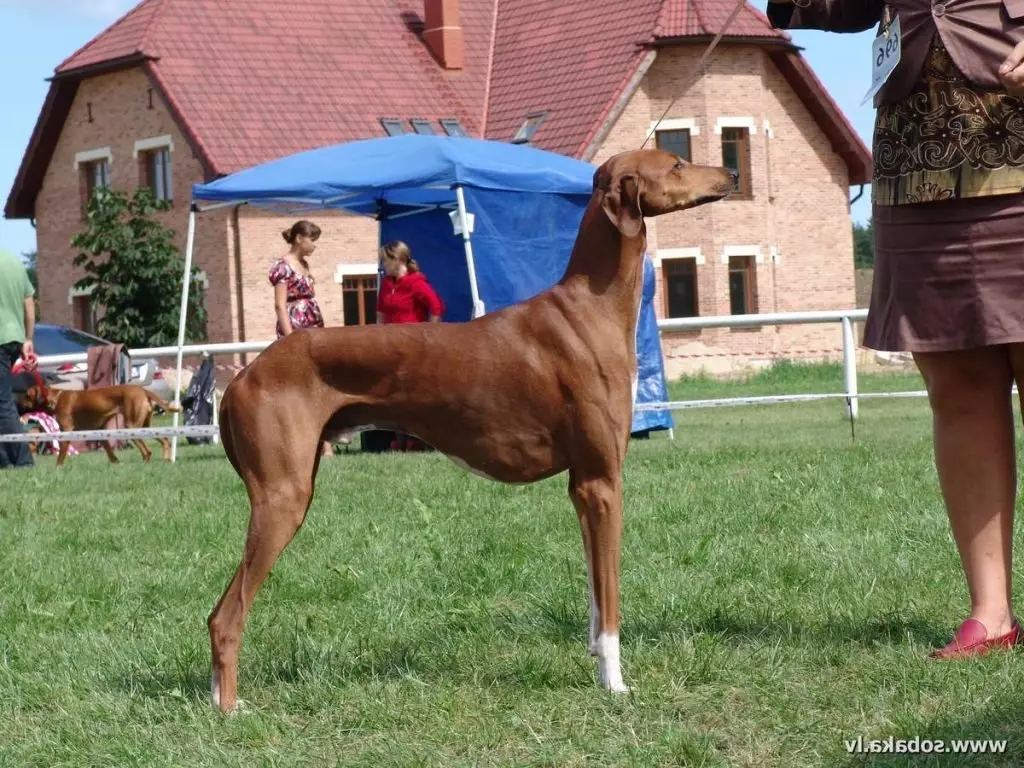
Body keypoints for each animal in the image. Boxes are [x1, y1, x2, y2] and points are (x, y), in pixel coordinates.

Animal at [26, 382, 180, 466]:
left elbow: (60, 456)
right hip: (144, 426)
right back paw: (167, 459)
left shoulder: (66, 431)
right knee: (165, 440)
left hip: (131, 427)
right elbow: (110, 453)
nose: (20, 404)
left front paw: (58, 468)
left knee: (147, 452)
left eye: (27, 395)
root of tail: (142, 390)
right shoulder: (99, 432)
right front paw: (117, 464)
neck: (55, 398)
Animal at [209, 147, 737, 712]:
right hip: (282, 499)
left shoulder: (581, 489)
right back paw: (230, 710)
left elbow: (596, 601)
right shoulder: (602, 484)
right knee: (226, 616)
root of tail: (244, 374)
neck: (589, 308)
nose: (731, 173)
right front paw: (615, 685)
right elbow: (611, 602)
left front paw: (599, 667)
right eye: (676, 163)